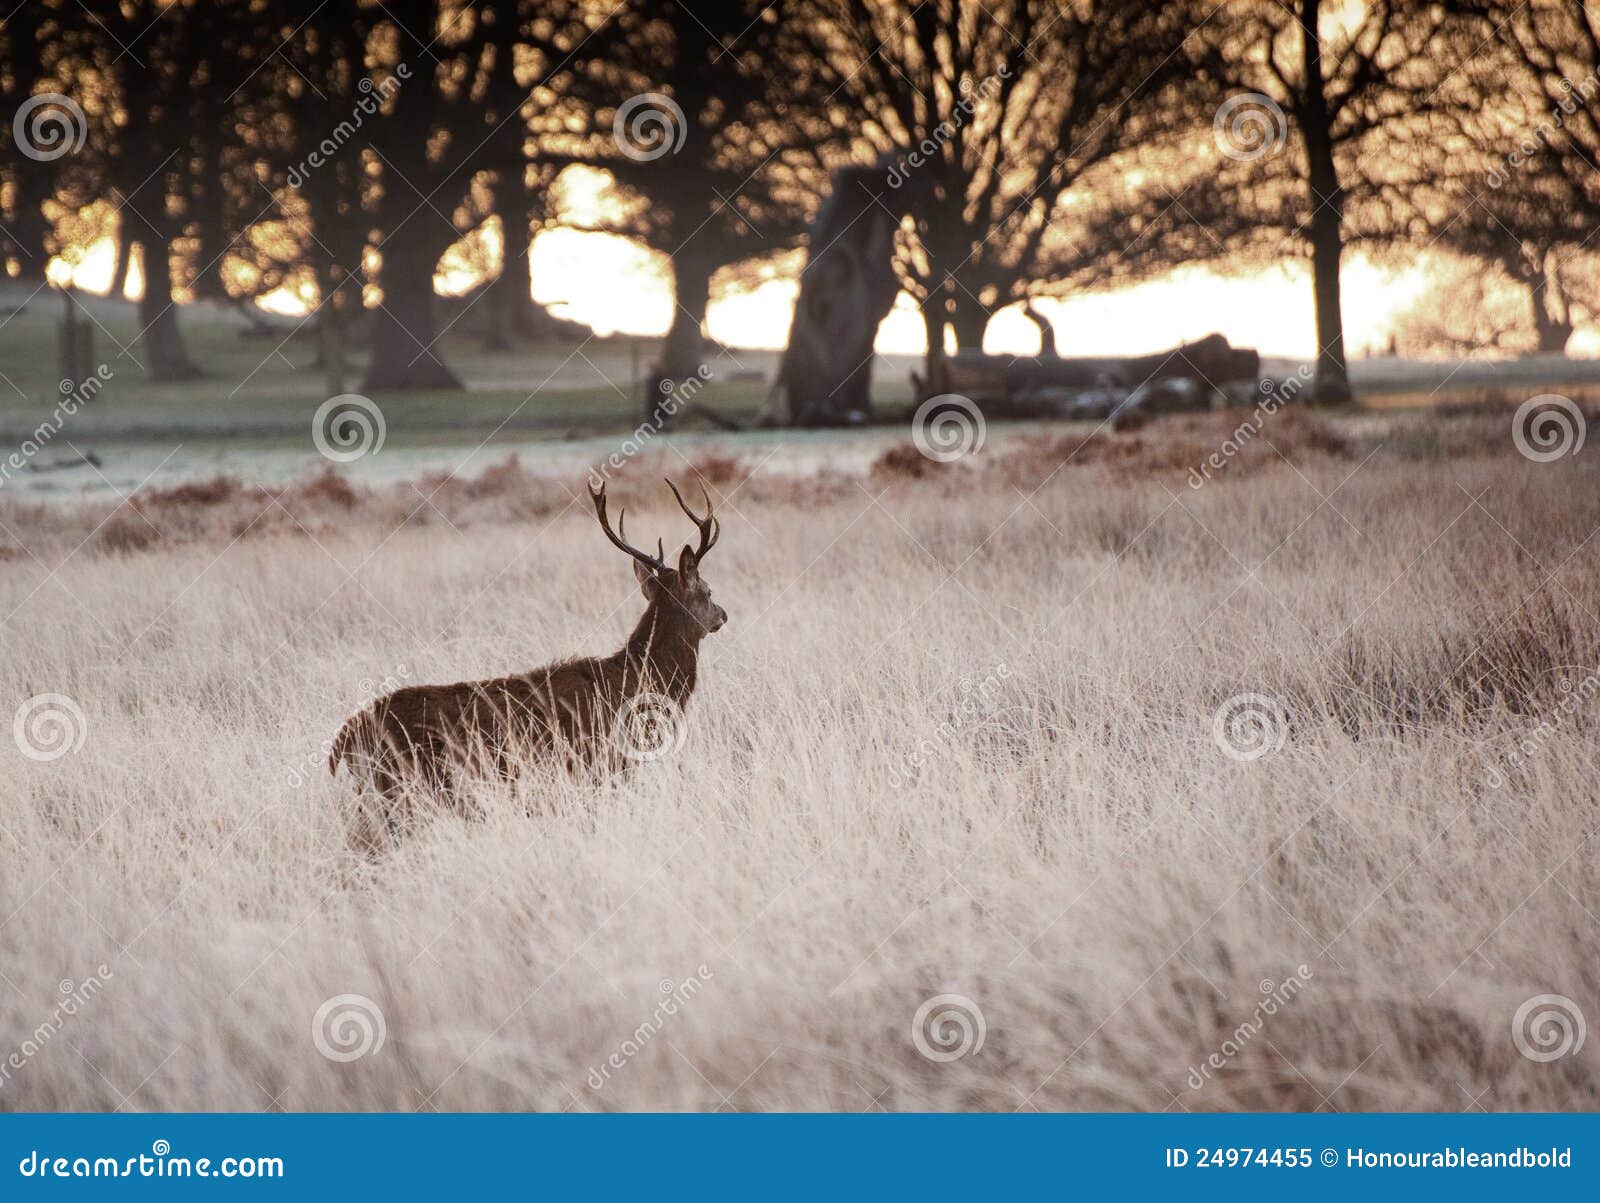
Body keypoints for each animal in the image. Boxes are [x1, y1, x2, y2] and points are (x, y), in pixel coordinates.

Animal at [329, 478, 725, 845]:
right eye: (707, 590)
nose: (722, 614)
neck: (638, 684)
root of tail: (343, 739)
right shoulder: (600, 767)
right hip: (403, 789)